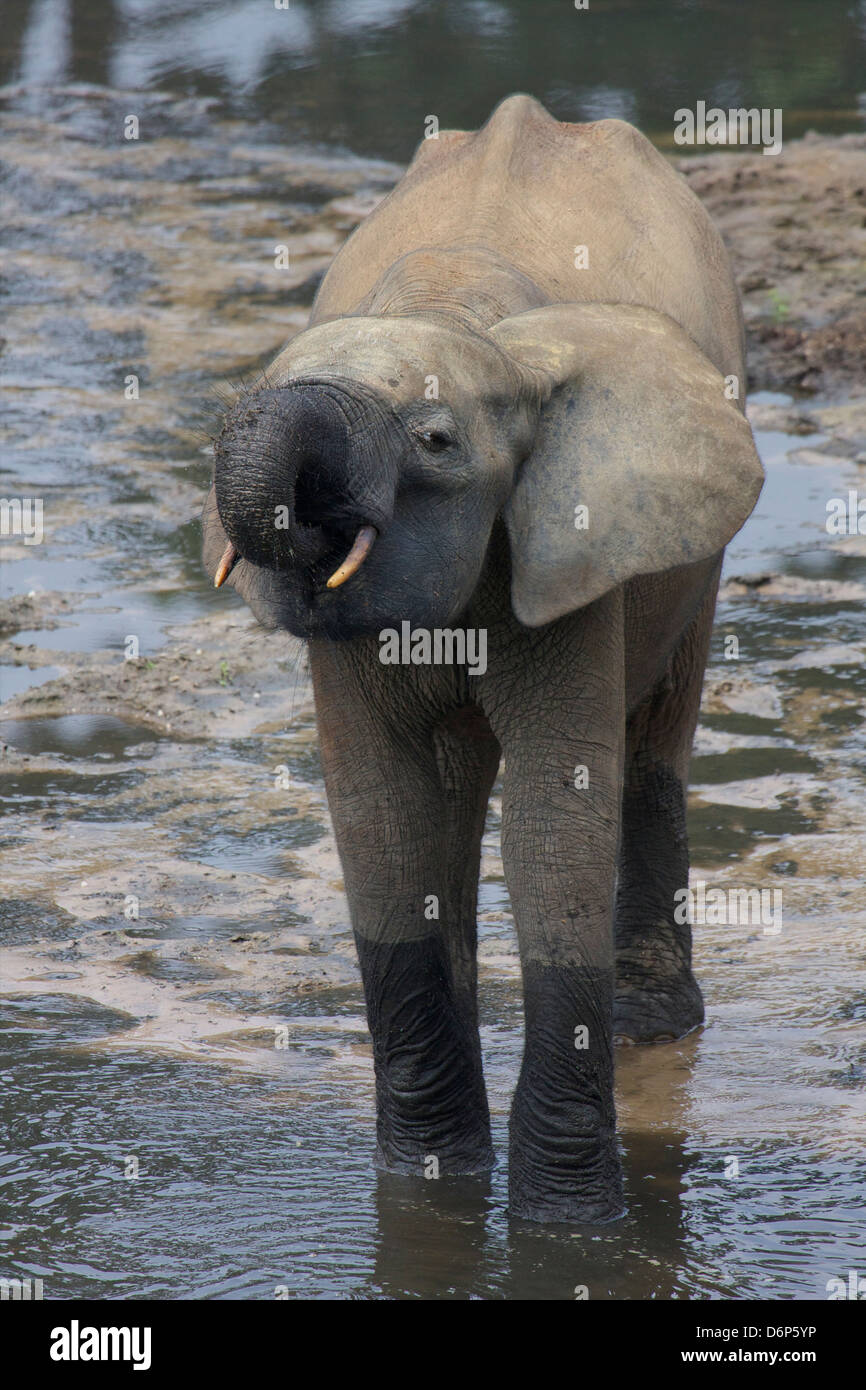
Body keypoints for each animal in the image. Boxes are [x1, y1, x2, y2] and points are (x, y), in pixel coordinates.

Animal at [202, 94, 763, 1223]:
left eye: (435, 442)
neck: (462, 319)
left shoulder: (572, 536)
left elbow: (555, 817)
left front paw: (569, 1230)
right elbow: (383, 817)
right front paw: (429, 1187)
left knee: (655, 739)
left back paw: (653, 1028)